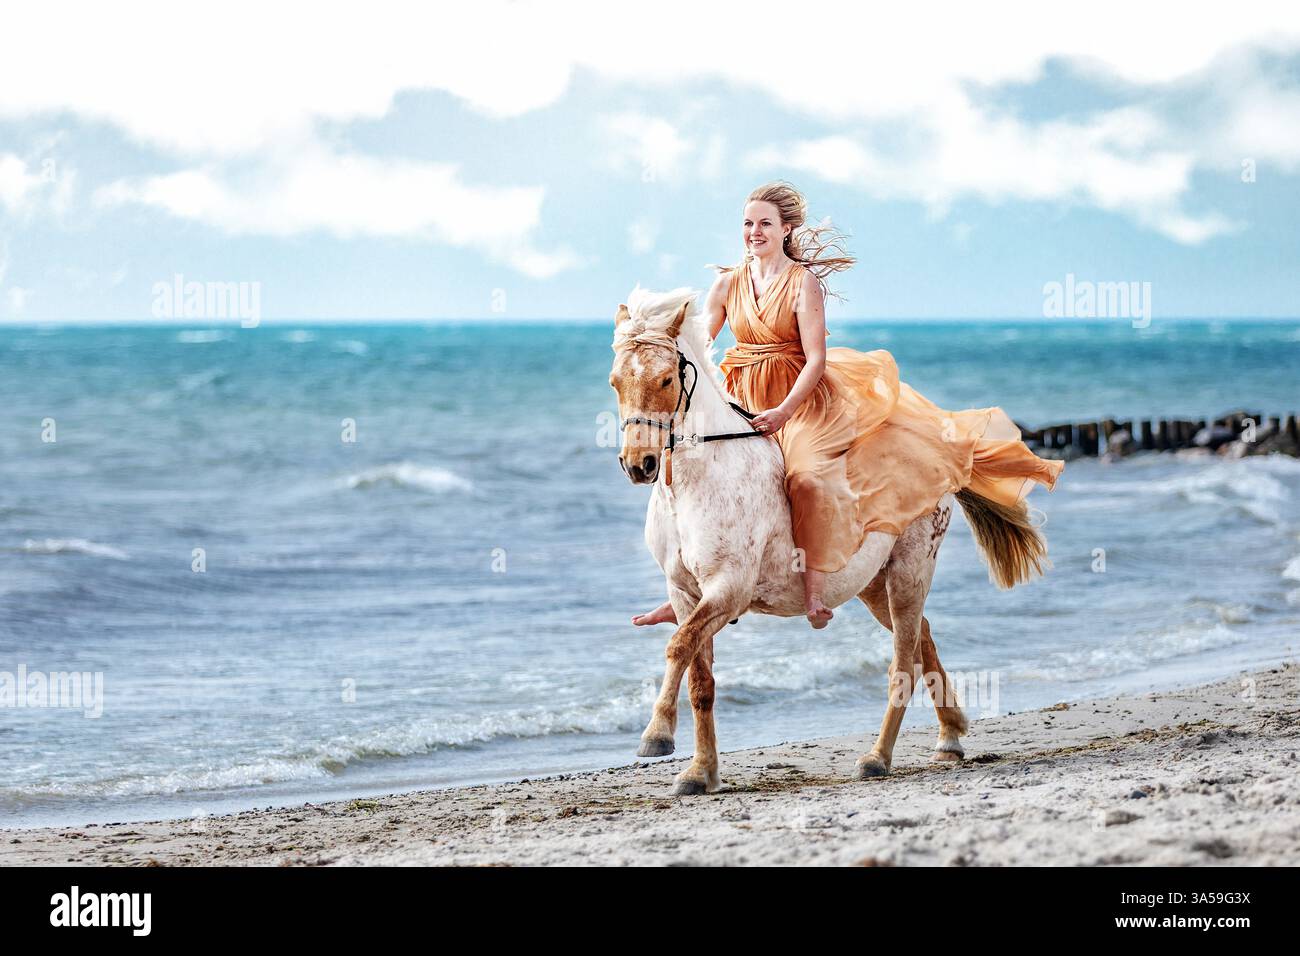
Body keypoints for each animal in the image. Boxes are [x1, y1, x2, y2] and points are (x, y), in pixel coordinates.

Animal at [608, 286, 1051, 796]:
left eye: (665, 380)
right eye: (616, 382)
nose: (638, 465)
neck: (699, 481)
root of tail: (941, 456)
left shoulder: (728, 588)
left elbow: (676, 647)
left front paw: (656, 734)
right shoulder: (684, 592)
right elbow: (701, 680)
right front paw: (701, 773)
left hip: (910, 571)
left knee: (903, 663)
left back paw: (877, 758)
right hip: (874, 587)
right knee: (924, 640)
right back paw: (950, 737)